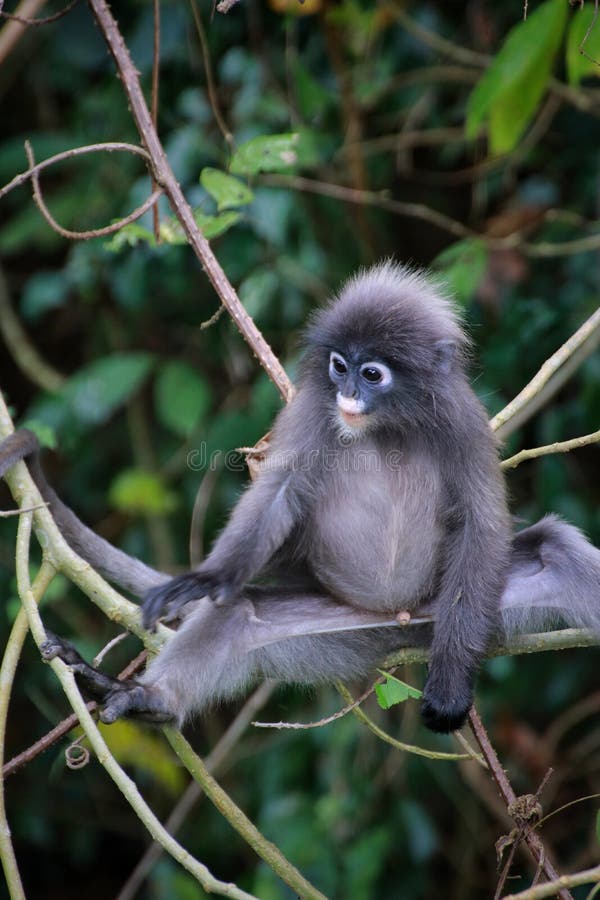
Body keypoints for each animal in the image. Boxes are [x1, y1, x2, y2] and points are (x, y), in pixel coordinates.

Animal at [3, 262, 600, 733]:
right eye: (339, 365)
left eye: (372, 373)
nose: (348, 393)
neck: (384, 427)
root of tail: (400, 620)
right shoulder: (315, 404)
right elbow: (280, 495)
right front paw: (206, 578)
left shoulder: (461, 418)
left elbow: (480, 523)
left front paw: (451, 685)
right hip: (339, 632)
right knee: (237, 612)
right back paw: (148, 700)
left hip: (459, 610)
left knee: (557, 548)